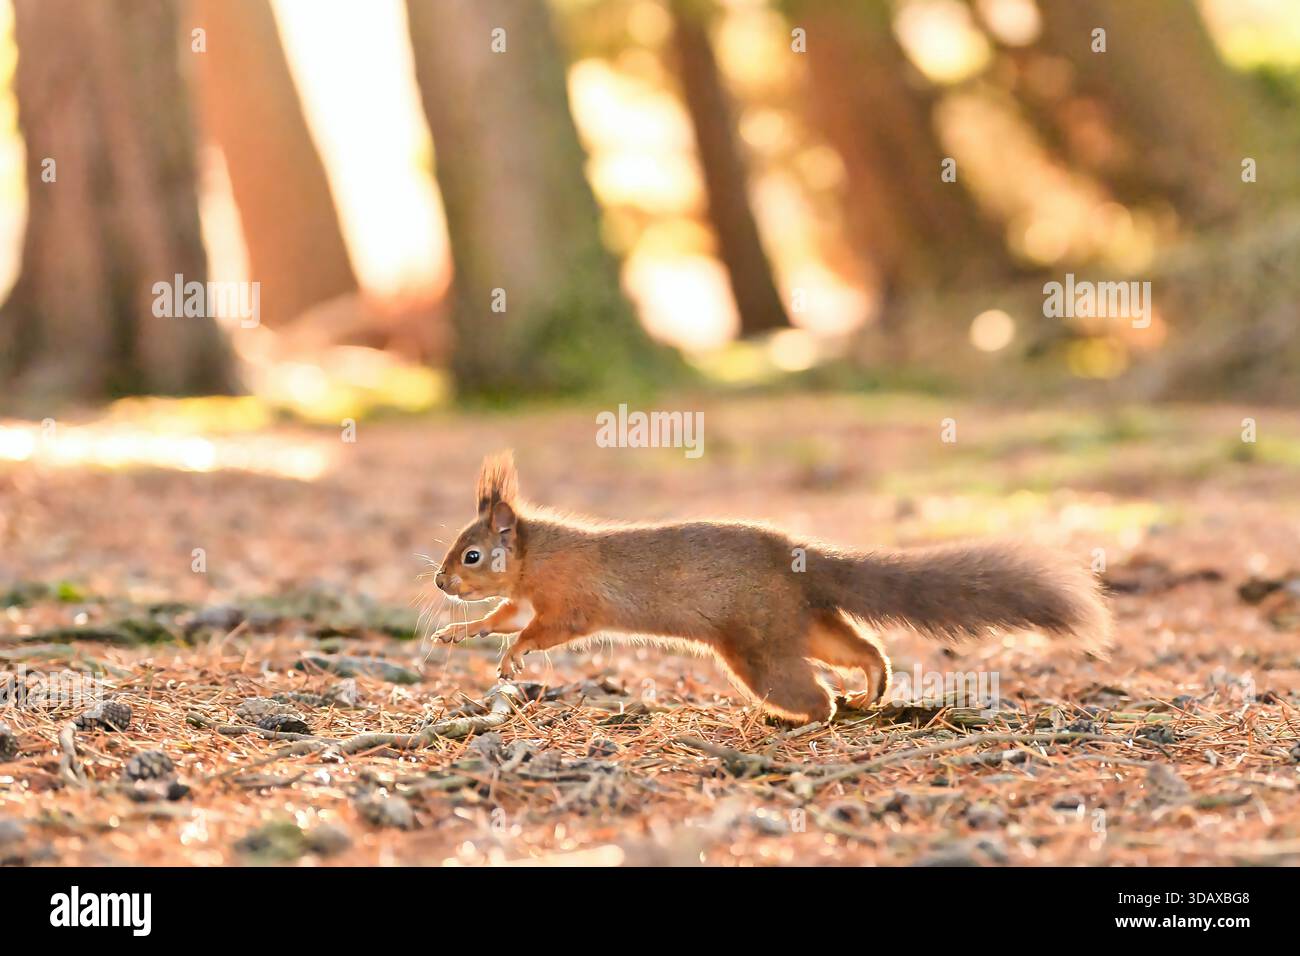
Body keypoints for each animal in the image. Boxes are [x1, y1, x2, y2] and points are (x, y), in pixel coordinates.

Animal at [432, 451, 1112, 724]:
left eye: (471, 554)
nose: (440, 580)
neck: (537, 553)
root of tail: (799, 560)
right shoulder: (523, 595)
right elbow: (500, 615)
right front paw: (459, 632)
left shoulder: (569, 600)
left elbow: (541, 630)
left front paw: (512, 655)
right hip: (800, 623)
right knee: (862, 650)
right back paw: (871, 688)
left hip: (758, 647)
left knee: (814, 694)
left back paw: (806, 719)